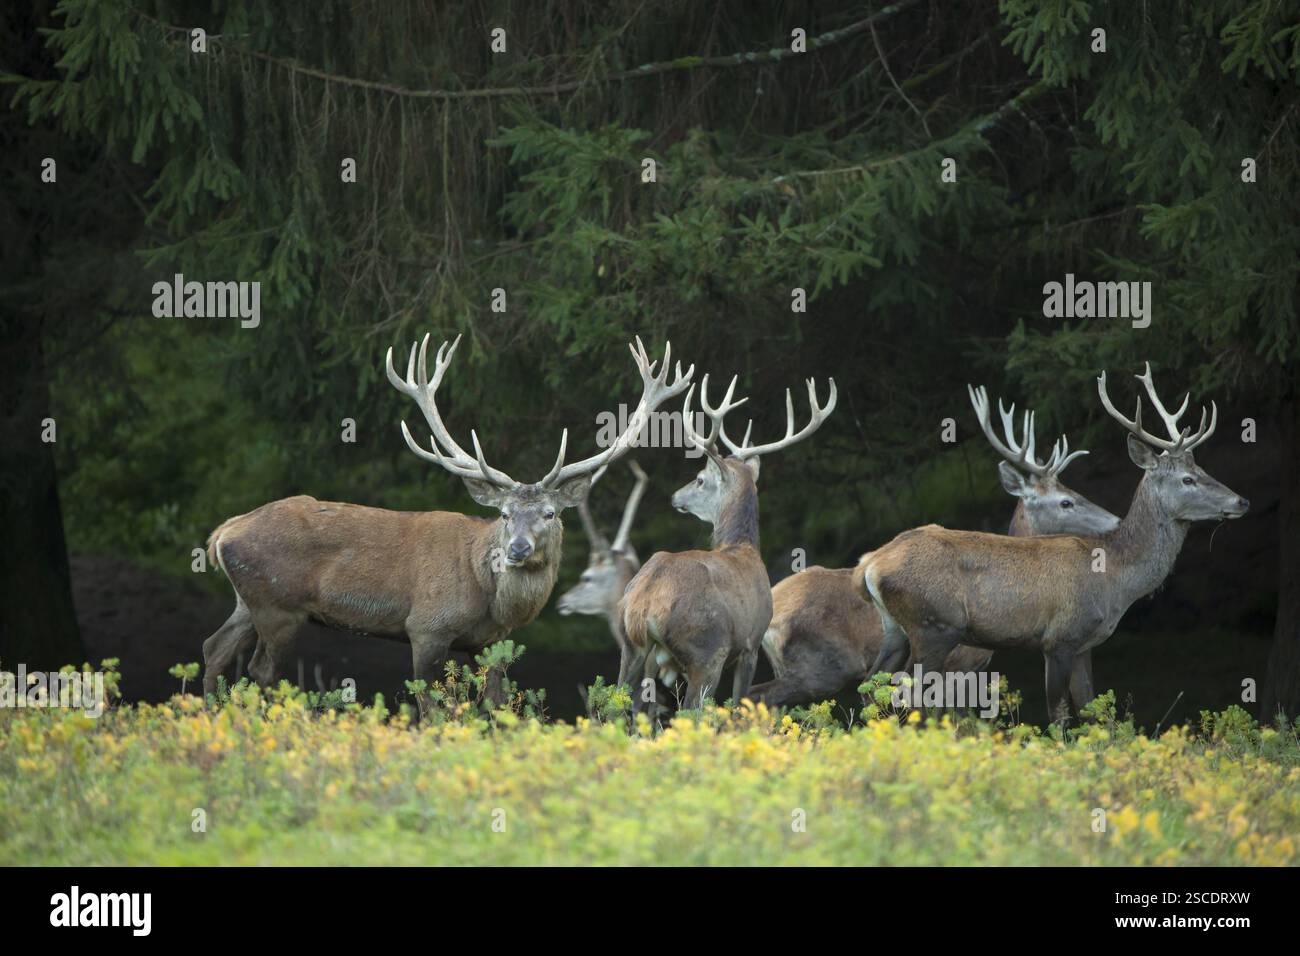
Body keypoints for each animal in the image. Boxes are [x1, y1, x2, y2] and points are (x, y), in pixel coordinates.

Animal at [200, 334, 693, 708]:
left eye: (550, 513)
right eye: (504, 513)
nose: (517, 549)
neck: (488, 595)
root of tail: (223, 533)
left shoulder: (493, 641)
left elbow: (494, 704)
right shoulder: (427, 626)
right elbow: (431, 704)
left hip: (249, 600)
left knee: (214, 648)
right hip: (278, 604)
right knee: (261, 669)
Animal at [619, 372, 836, 710]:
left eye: (698, 479)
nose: (674, 497)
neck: (742, 548)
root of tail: (645, 602)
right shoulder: (751, 642)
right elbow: (738, 703)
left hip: (632, 647)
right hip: (706, 649)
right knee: (691, 711)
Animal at [856, 363, 1249, 722]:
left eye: (1203, 470)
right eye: (1187, 479)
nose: (1241, 501)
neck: (1114, 578)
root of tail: (870, 565)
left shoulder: (1085, 646)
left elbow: (1092, 712)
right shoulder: (1059, 637)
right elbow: (1059, 715)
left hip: (895, 631)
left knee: (870, 688)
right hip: (934, 626)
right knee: (913, 698)